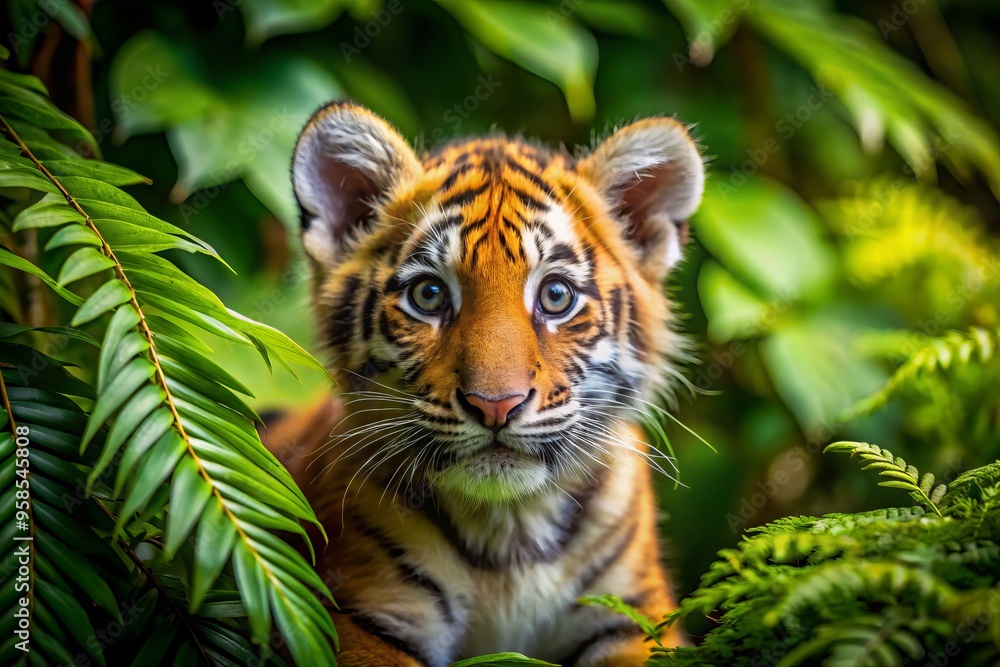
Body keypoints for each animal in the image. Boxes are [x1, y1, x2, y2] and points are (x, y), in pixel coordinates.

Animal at [262, 101, 705, 667]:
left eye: (556, 295)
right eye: (428, 295)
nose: (496, 405)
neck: (510, 532)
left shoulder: (635, 618)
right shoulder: (365, 614)